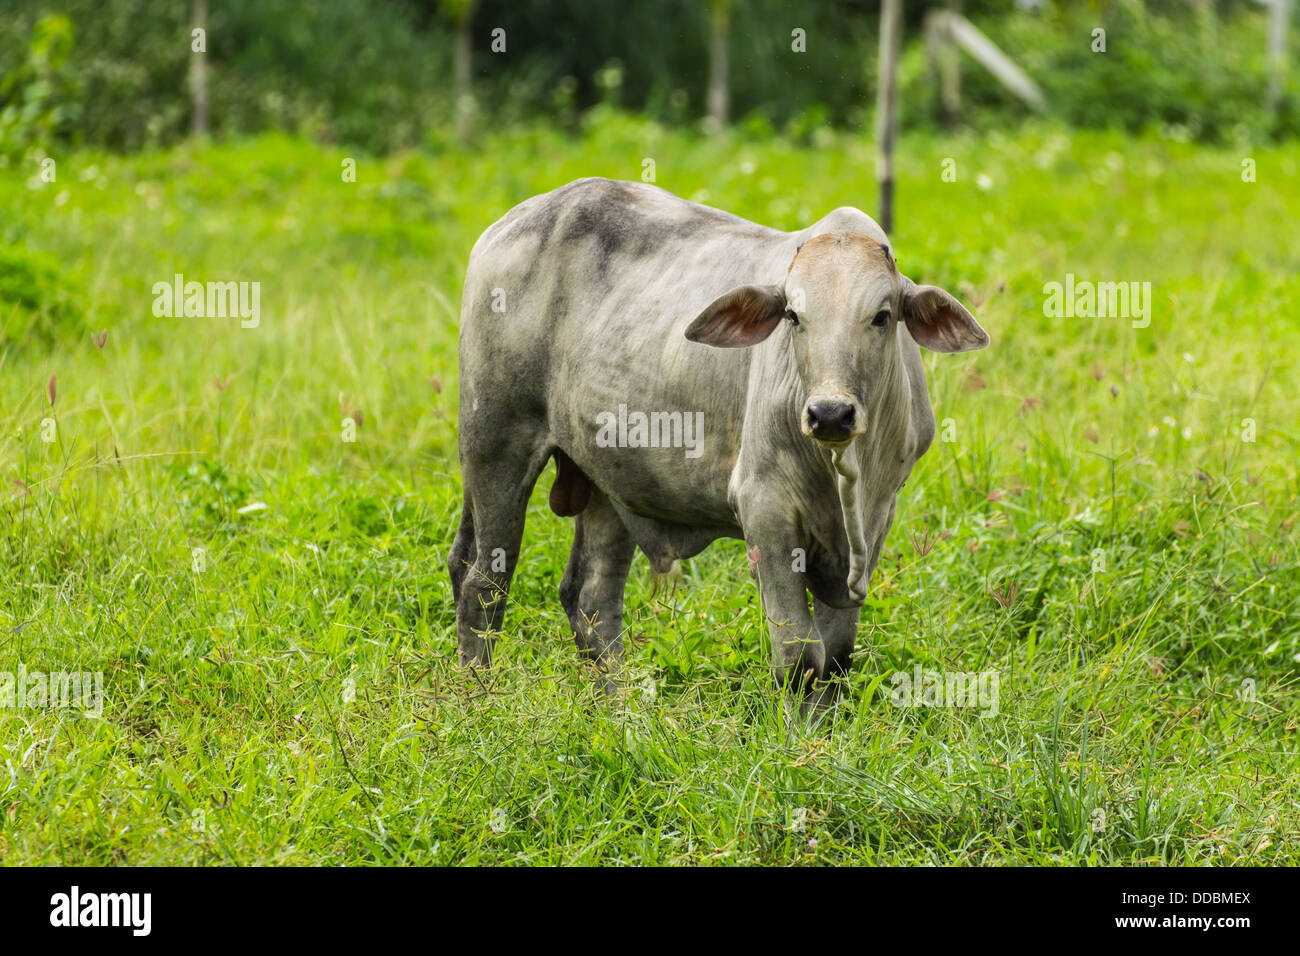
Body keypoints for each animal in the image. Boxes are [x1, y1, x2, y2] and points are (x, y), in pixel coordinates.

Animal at [449, 177, 988, 719]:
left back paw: (620, 708)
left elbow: (835, 658)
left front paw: (827, 732)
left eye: (882, 316)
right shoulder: (765, 509)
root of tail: (514, 221)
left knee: (591, 596)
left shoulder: (877, 518)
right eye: (793, 315)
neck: (843, 474)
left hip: (608, 480)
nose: (831, 413)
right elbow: (798, 659)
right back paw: (478, 698)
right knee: (482, 582)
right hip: (495, 443)